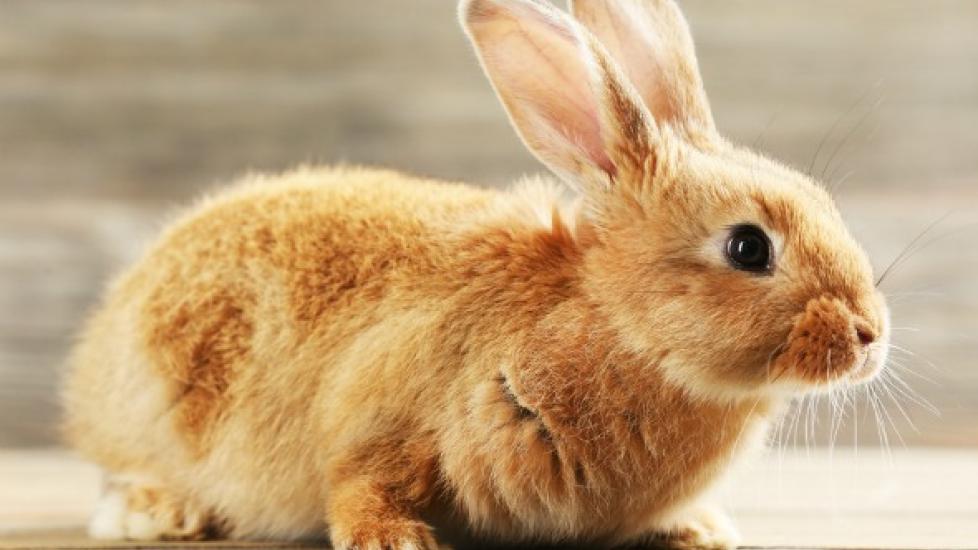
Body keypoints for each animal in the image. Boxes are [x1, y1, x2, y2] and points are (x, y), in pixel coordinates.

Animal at [62, 0, 891, 548]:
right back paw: (157, 512)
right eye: (749, 248)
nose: (870, 336)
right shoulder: (387, 410)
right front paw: (395, 541)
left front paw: (700, 530)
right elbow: (360, 480)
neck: (617, 331)